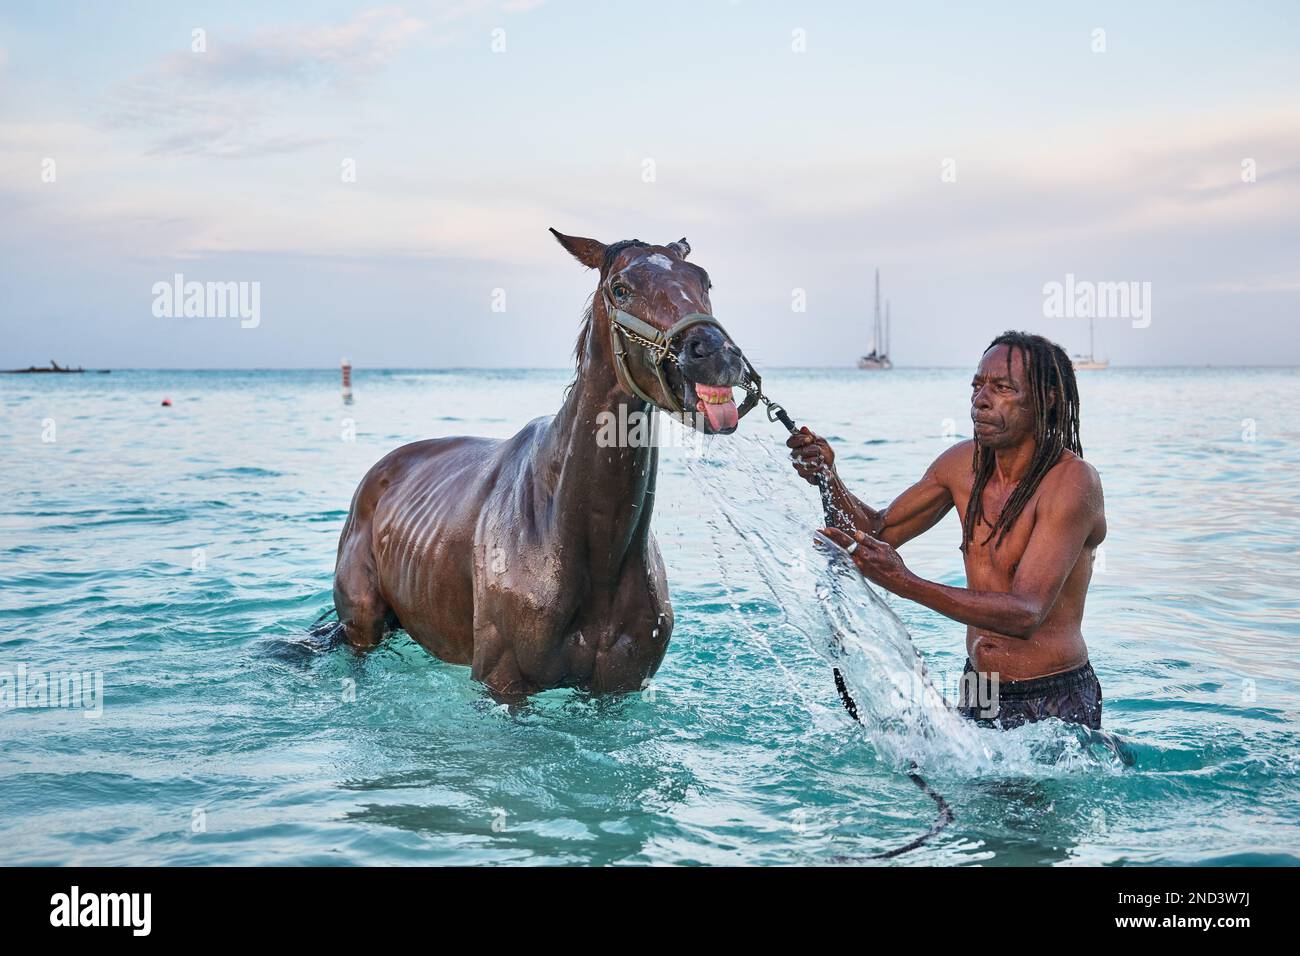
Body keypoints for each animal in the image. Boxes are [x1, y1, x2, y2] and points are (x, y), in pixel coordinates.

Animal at [325, 229, 760, 700]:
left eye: (704, 281)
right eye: (620, 288)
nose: (715, 354)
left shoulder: (616, 690)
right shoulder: (502, 683)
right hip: (362, 627)